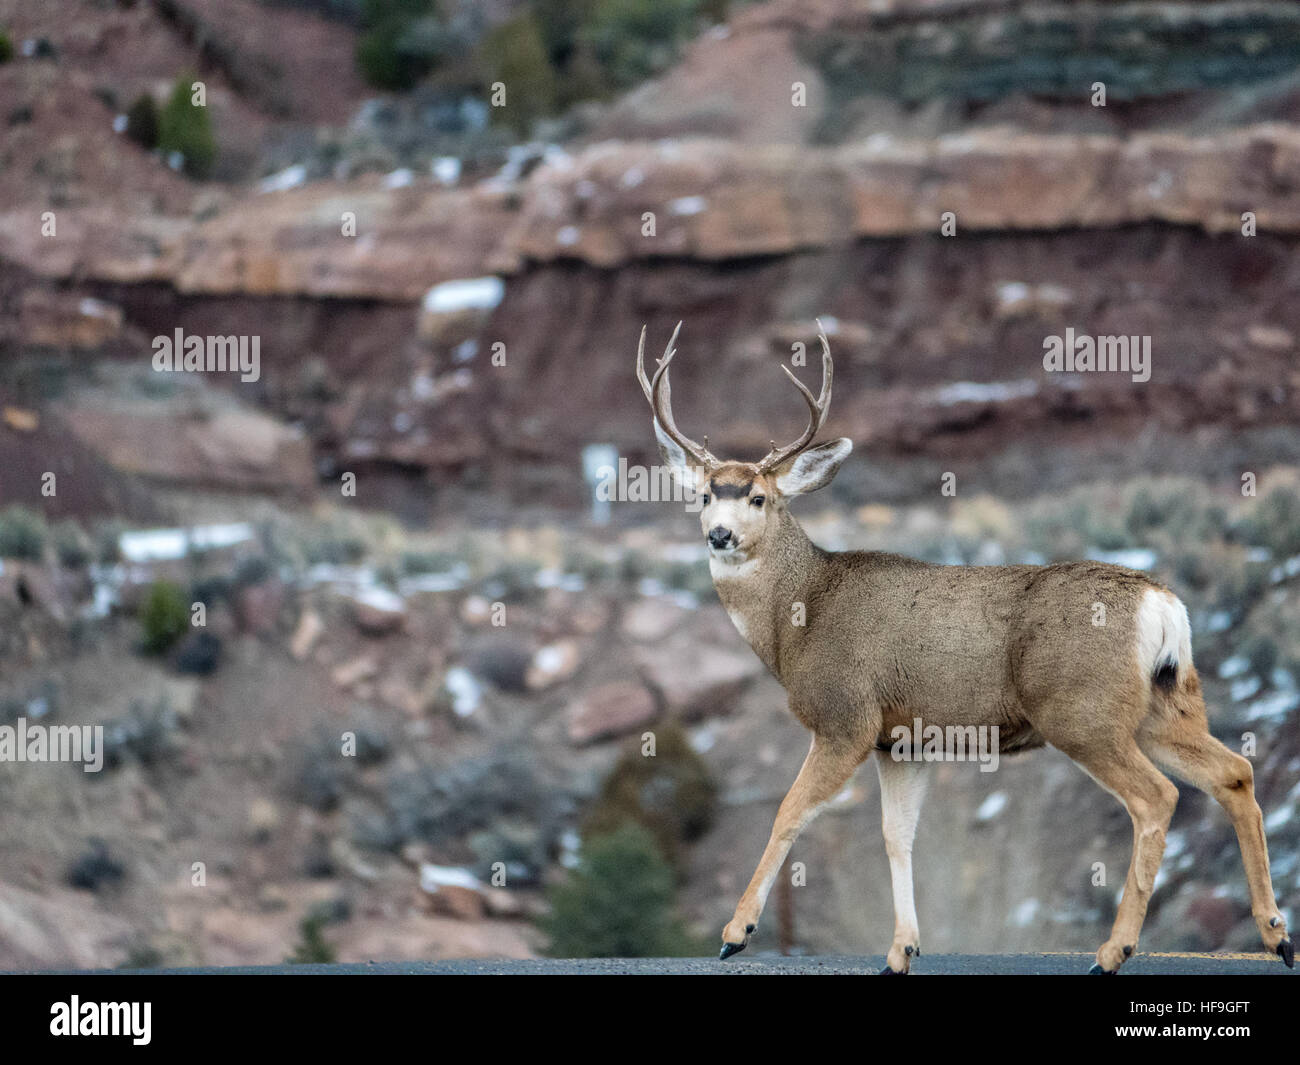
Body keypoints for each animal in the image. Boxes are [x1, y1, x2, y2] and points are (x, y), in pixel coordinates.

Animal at [636, 321, 1294, 974]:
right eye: (704, 496)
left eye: (758, 498)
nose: (720, 535)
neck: (797, 618)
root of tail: (1161, 603)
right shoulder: (901, 741)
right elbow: (896, 835)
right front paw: (902, 950)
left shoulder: (846, 717)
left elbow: (788, 813)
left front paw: (735, 933)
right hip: (1165, 705)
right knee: (1234, 773)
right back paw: (1276, 936)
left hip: (1082, 711)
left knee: (1157, 797)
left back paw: (1113, 951)